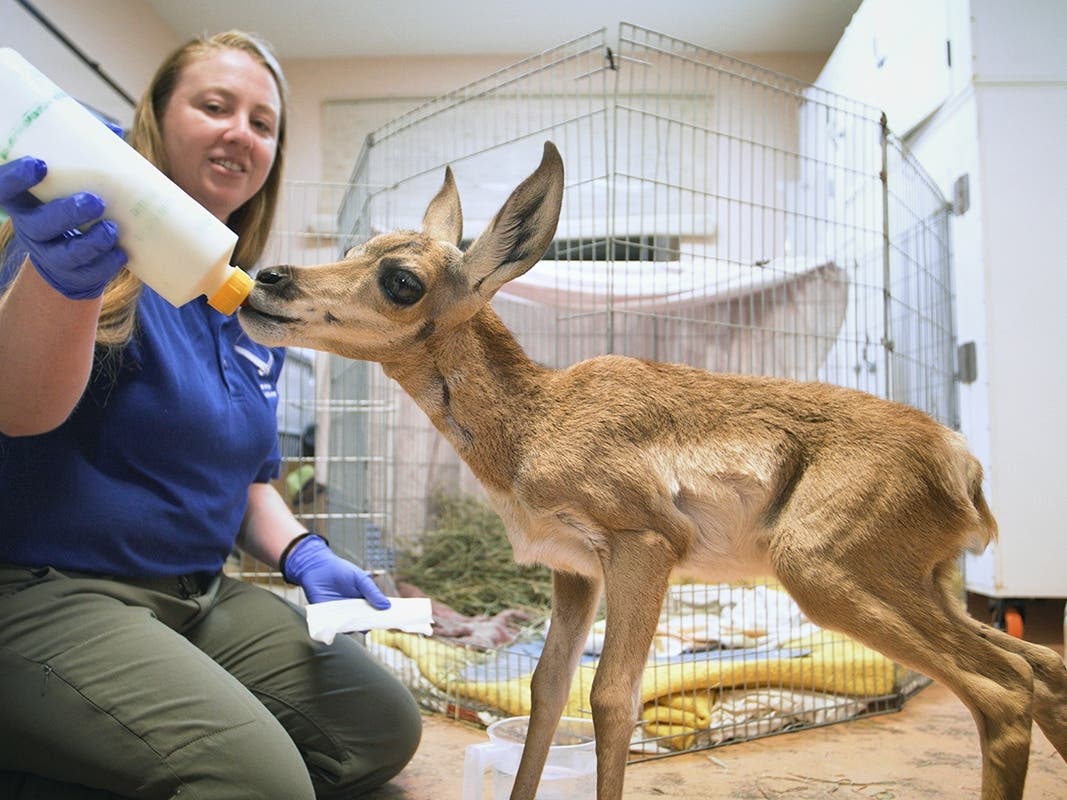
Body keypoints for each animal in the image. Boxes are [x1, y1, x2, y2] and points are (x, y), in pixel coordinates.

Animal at [239, 142, 1067, 800]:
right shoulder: (573, 571)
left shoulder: (643, 548)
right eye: (362, 244)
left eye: (401, 279)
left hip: (827, 574)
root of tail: (958, 460)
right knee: (1037, 665)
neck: (538, 420)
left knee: (1001, 691)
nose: (265, 279)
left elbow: (611, 698)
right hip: (917, 586)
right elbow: (547, 691)